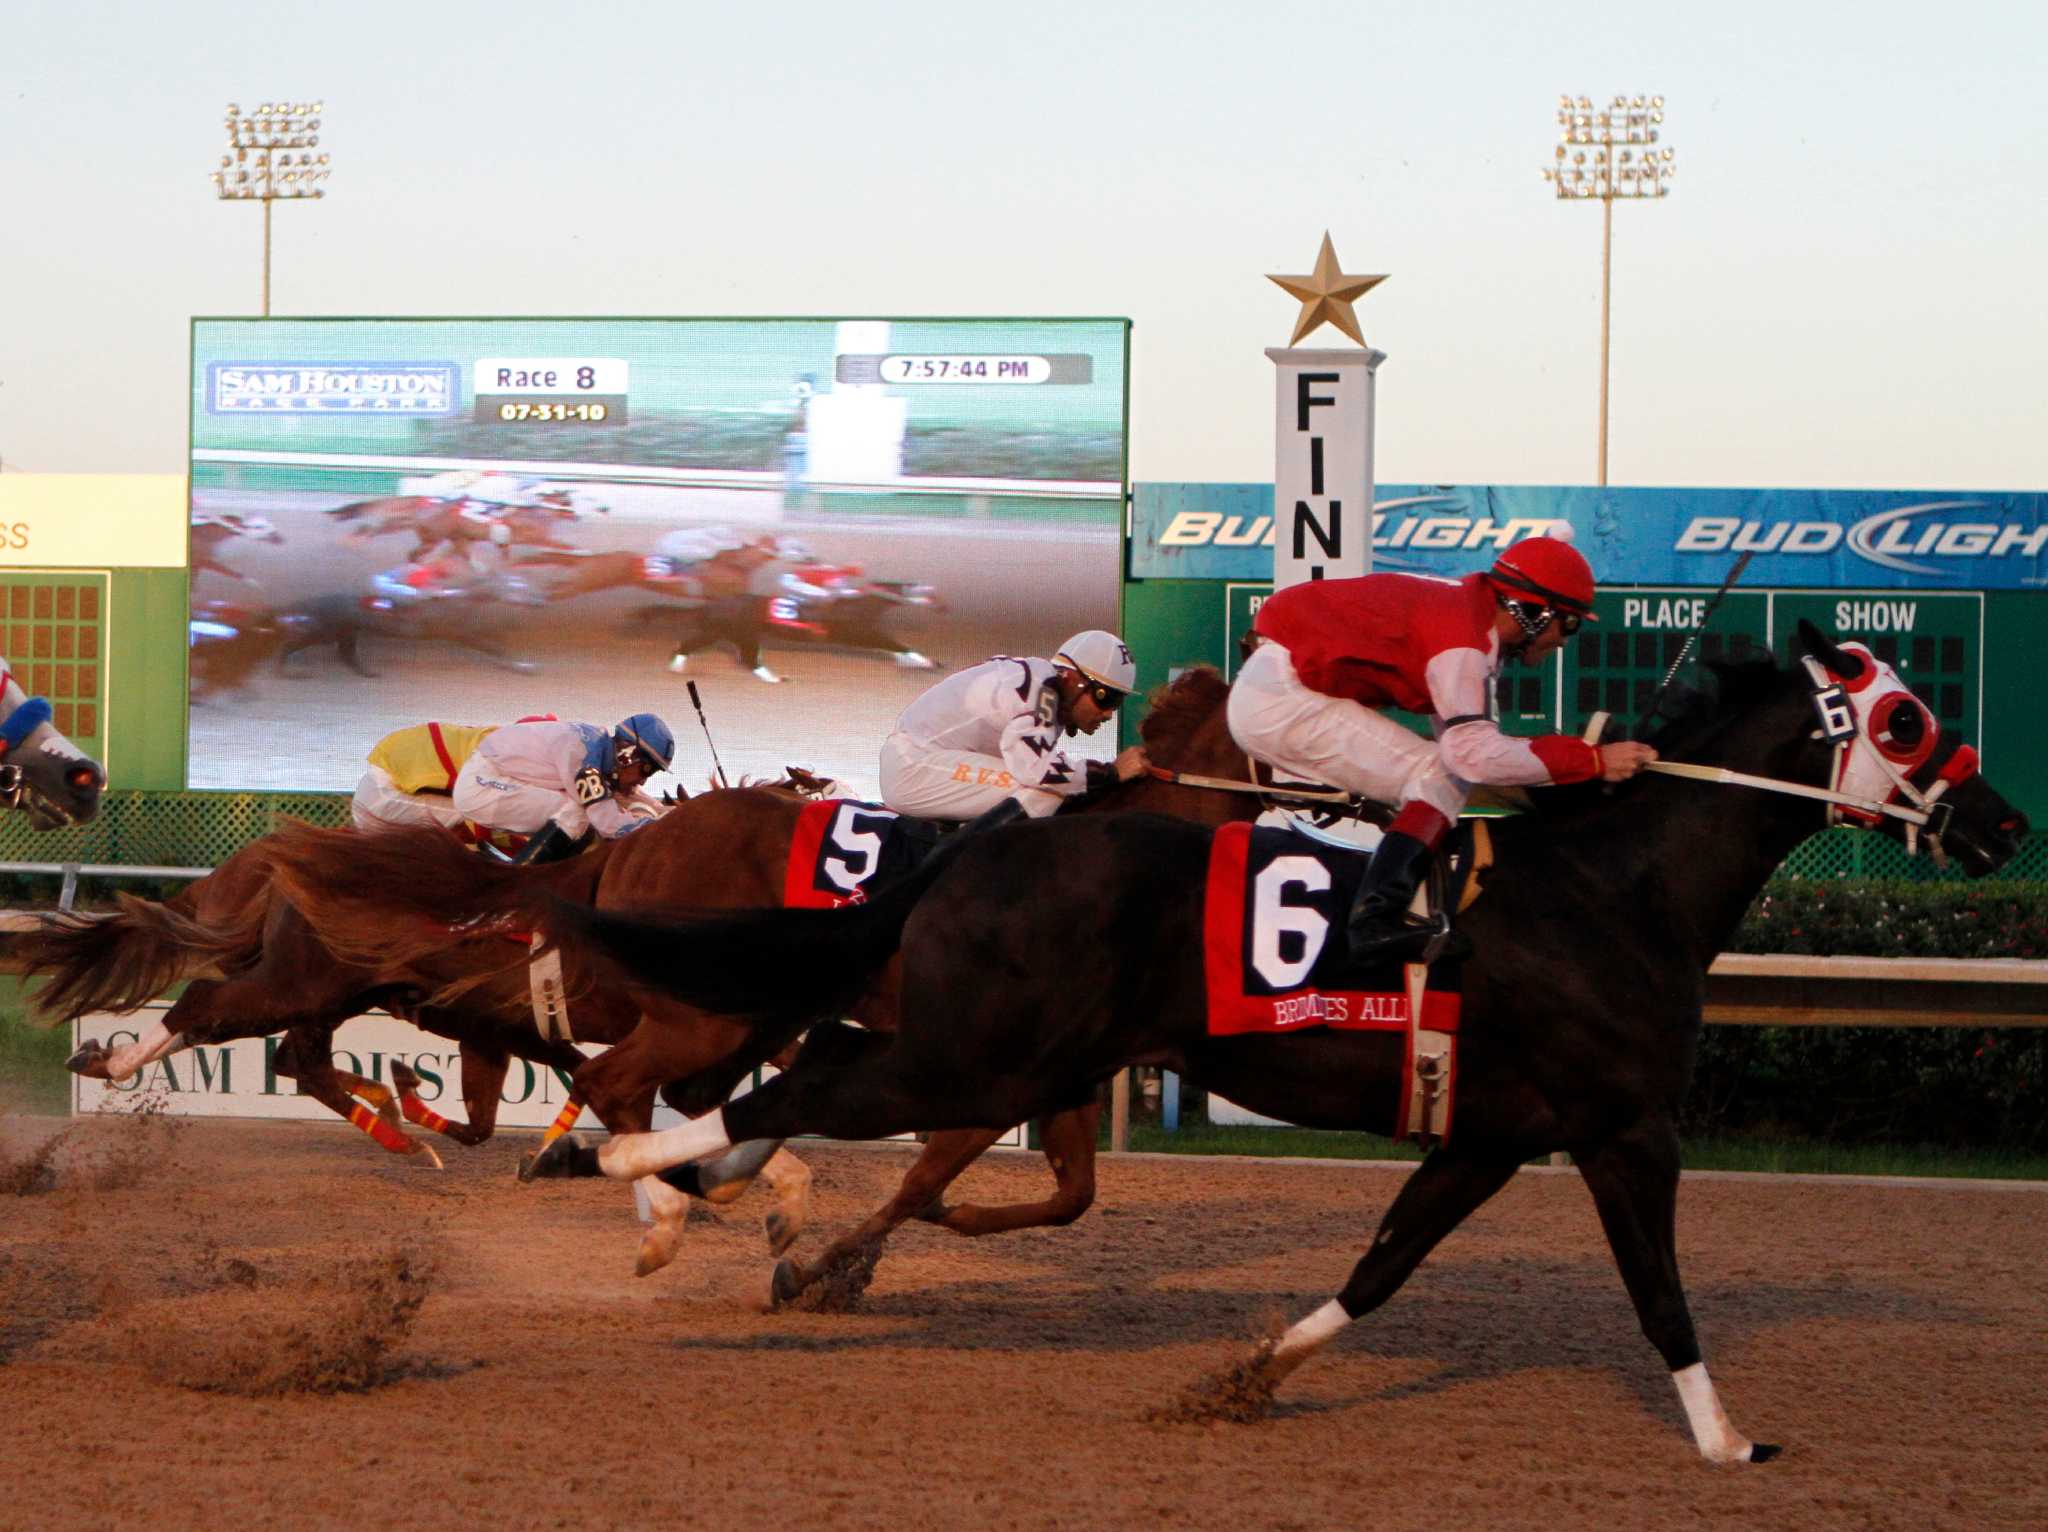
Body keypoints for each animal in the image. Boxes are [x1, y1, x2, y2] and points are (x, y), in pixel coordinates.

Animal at [249, 668, 1257, 1280]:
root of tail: (641, 842)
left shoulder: (1049, 1063)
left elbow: (1064, 1192)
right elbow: (932, 1173)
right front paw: (829, 1266)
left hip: (730, 1017)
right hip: (706, 1014)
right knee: (615, 1084)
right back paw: (648, 1203)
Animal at [520, 625, 2027, 1462]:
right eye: (1903, 719)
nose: (2001, 822)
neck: (1614, 893)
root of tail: (984, 850)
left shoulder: (1490, 1132)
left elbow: (1379, 1266)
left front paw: (1242, 1377)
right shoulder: (1623, 1129)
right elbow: (1661, 1294)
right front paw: (1726, 1440)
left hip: (985, 1044)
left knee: (766, 1087)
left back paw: (698, 1189)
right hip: (955, 1043)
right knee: (706, 1085)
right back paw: (651, 1182)